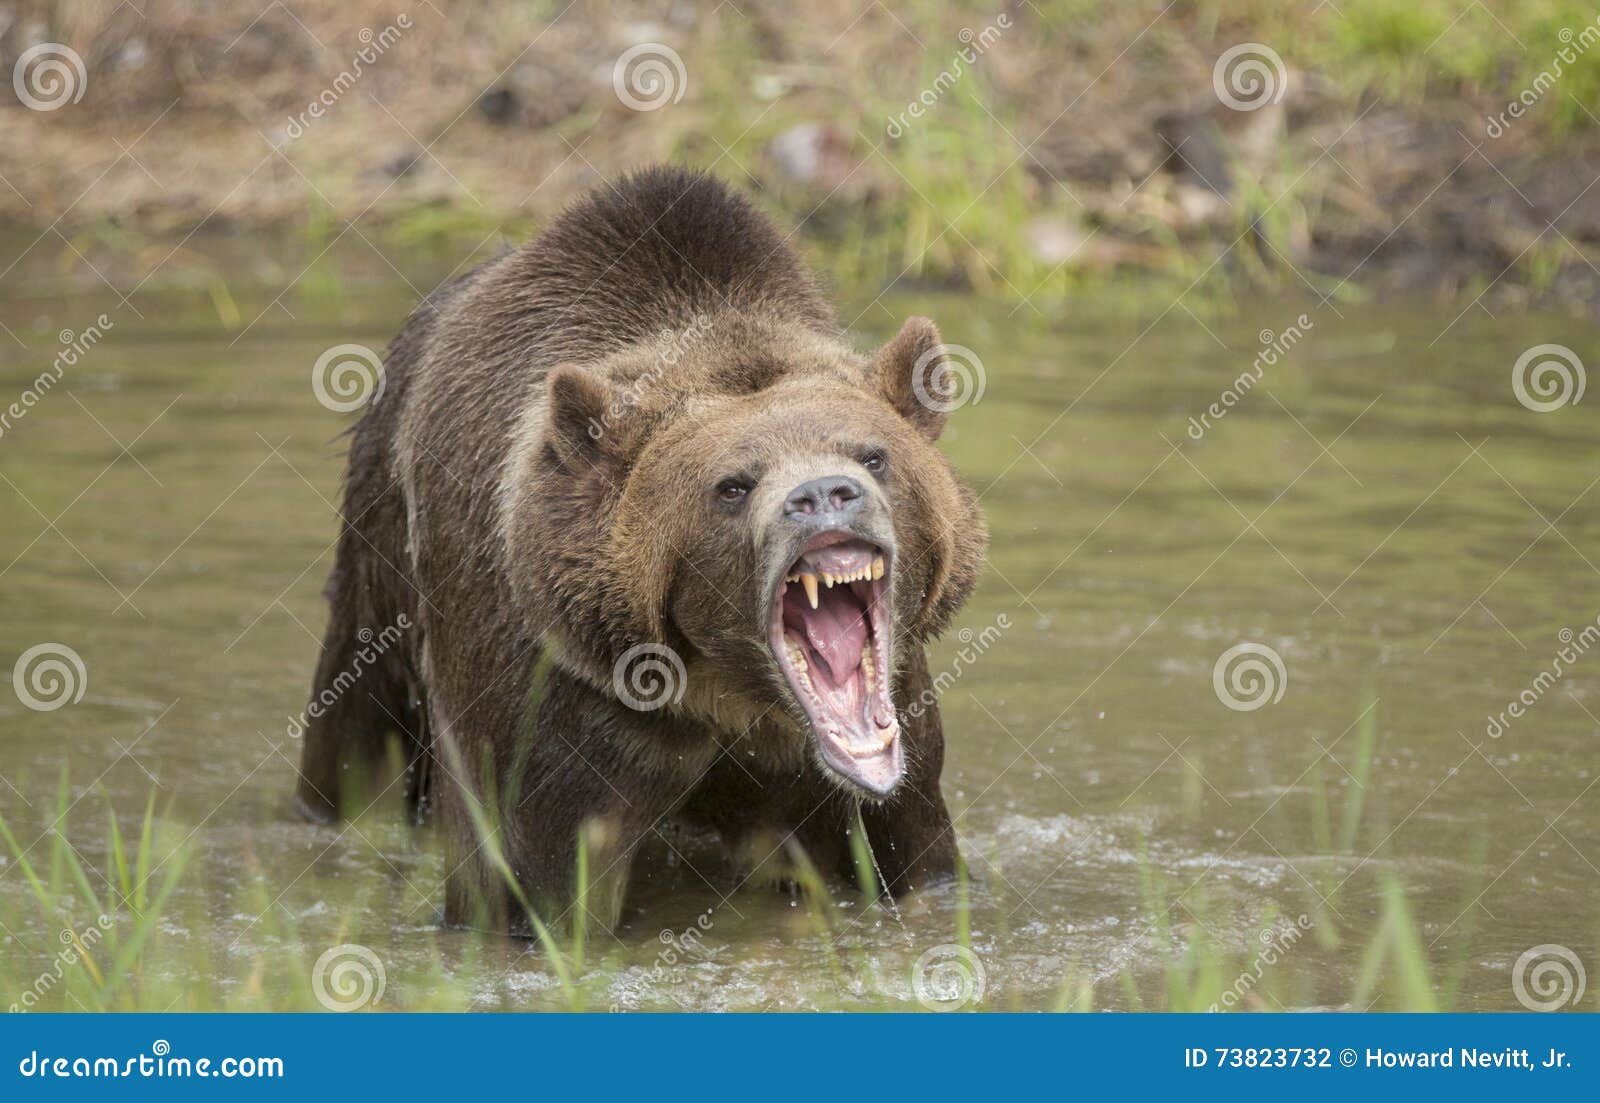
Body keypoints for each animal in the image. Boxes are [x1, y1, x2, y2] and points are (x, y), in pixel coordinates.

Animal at [292, 166, 987, 933]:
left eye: (872, 454)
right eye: (732, 484)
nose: (825, 494)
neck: (728, 691)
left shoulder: (891, 733)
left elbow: (916, 850)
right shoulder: (560, 702)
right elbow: (535, 881)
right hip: (381, 561)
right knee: (357, 730)